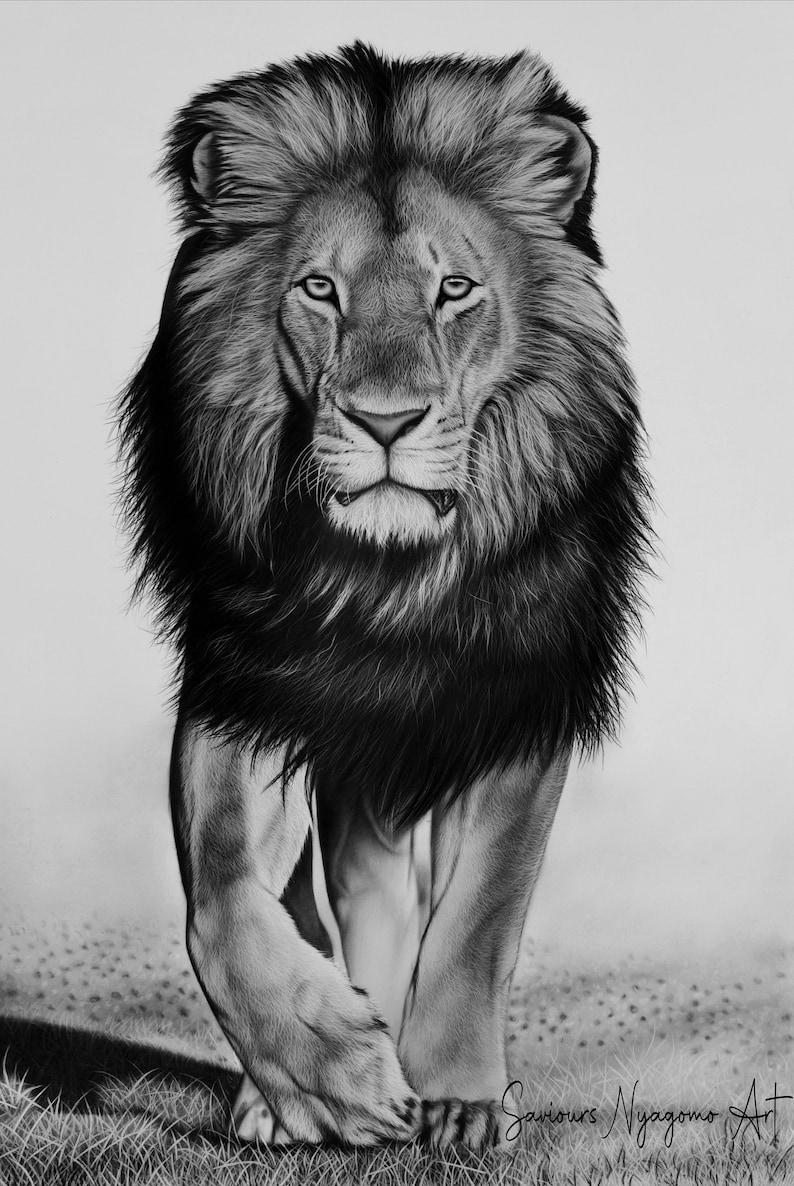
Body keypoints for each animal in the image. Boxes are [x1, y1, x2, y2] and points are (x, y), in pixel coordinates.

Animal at [119, 43, 651, 1151]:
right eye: (320, 288)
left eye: (455, 289)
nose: (387, 422)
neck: (387, 580)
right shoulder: (249, 679)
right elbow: (220, 892)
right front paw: (336, 1077)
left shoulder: (514, 699)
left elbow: (479, 914)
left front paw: (456, 1097)